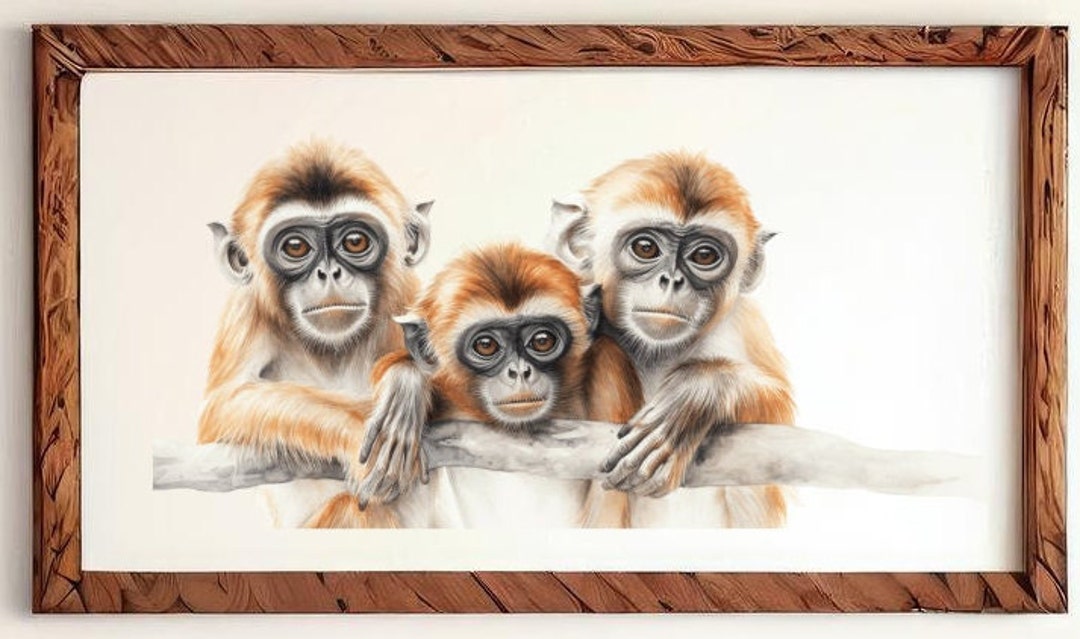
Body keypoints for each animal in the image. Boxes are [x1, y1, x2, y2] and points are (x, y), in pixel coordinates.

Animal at [198, 140, 432, 528]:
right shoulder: (246, 308)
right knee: (354, 510)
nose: (329, 273)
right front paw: (361, 427)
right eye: (296, 247)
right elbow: (224, 404)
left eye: (355, 241)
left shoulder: (407, 292)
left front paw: (405, 383)